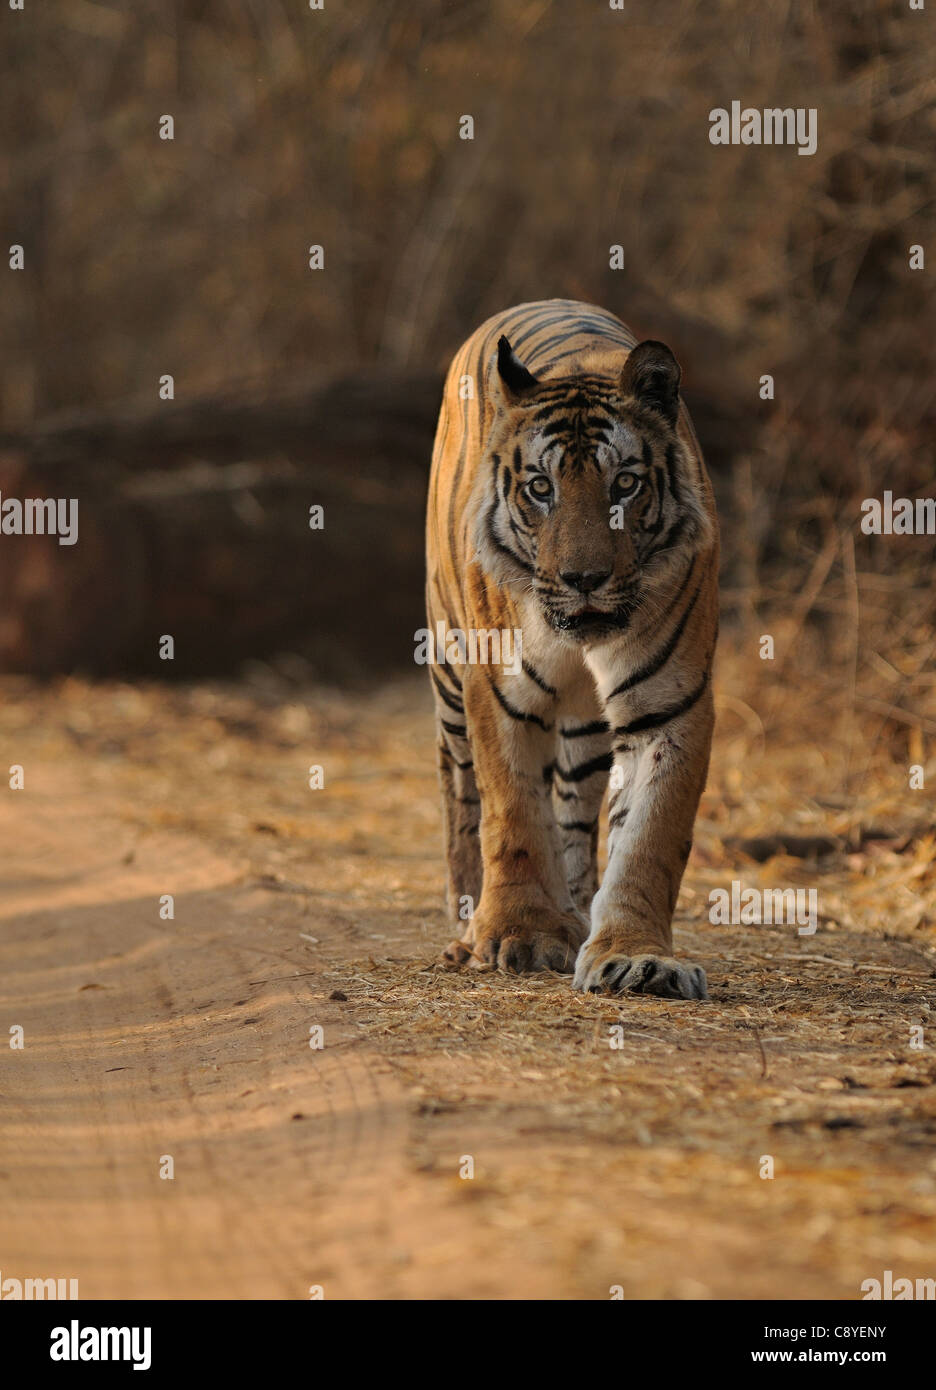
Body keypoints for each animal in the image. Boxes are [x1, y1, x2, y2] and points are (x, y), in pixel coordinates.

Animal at [425, 299, 718, 999]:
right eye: (540, 488)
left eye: (626, 484)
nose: (584, 578)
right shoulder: (497, 691)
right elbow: (512, 815)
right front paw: (521, 935)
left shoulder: (669, 703)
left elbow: (649, 838)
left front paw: (636, 956)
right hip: (448, 675)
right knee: (460, 794)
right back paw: (468, 926)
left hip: (585, 729)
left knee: (576, 815)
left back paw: (576, 913)